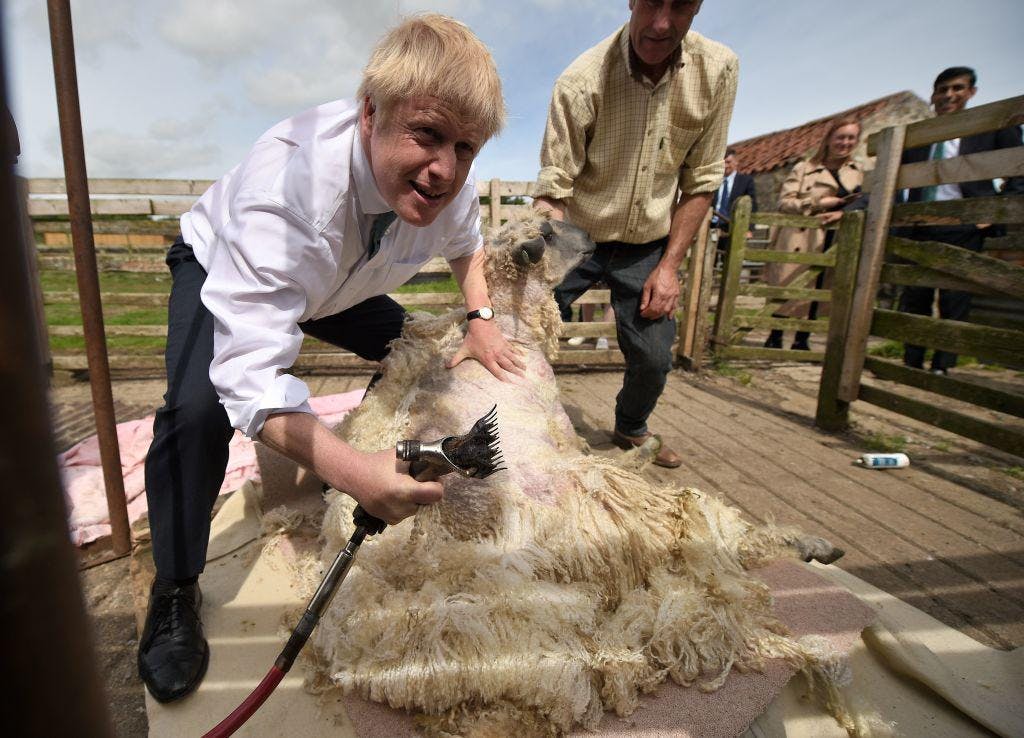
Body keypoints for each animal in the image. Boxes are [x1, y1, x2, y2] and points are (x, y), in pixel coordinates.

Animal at [304, 211, 849, 736]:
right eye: (546, 232)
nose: (591, 235)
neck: (509, 329)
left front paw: (648, 447)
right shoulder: (567, 441)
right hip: (604, 507)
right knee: (716, 536)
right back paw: (814, 546)